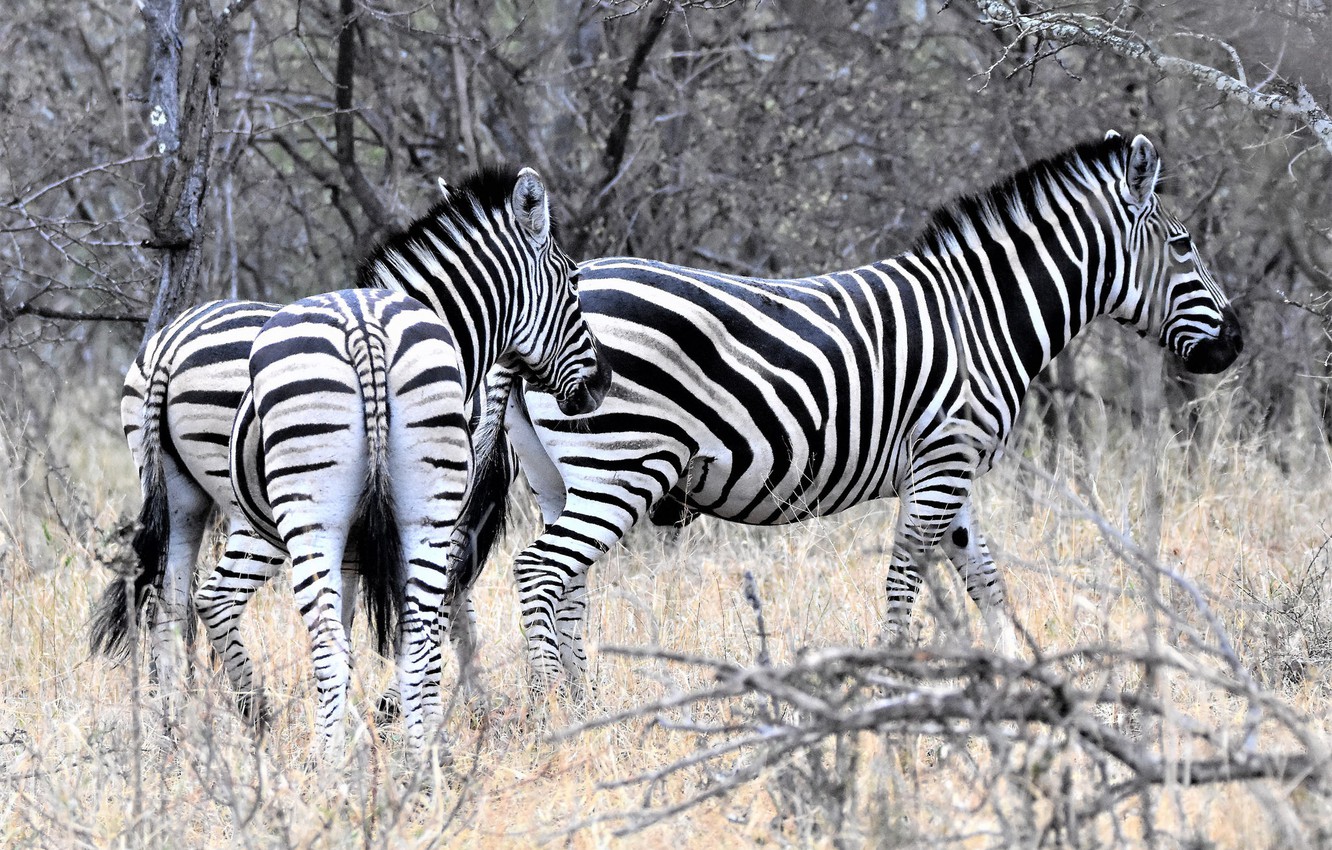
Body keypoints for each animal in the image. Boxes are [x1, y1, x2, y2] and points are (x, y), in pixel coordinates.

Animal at [92, 167, 611, 746]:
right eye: (572, 282)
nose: (601, 384)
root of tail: (170, 346)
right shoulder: (445, 515)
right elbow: (445, 614)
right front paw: (450, 711)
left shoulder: (364, 538)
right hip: (270, 514)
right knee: (218, 599)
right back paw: (259, 717)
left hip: (182, 497)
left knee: (171, 604)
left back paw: (174, 731)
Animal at [480, 132, 1242, 689]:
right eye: (1184, 245)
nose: (1235, 342)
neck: (983, 315)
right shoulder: (942, 461)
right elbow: (906, 577)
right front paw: (895, 686)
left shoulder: (954, 469)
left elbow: (987, 580)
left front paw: (1014, 682)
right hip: (622, 463)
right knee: (541, 570)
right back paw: (551, 705)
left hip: (560, 476)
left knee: (569, 584)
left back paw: (586, 701)